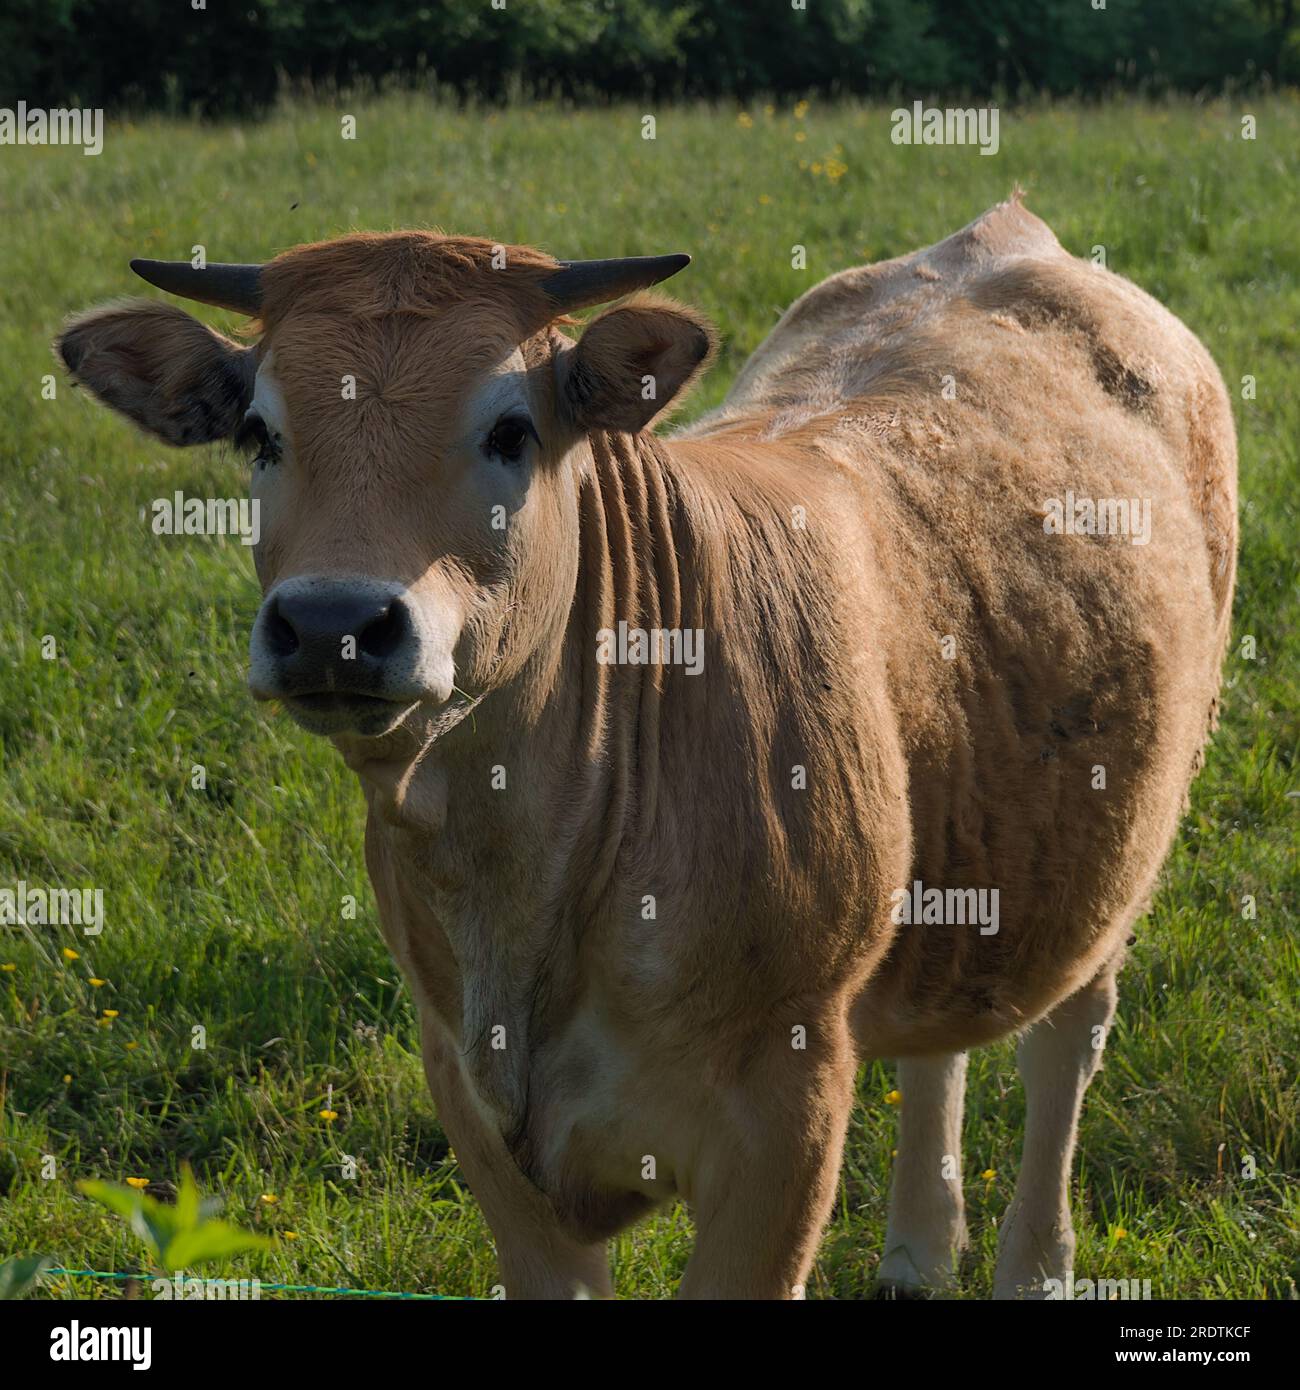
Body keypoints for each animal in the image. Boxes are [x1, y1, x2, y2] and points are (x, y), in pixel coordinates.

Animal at [57, 195, 1237, 1299]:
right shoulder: (475, 1109)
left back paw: (1034, 1262)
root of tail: (1008, 235)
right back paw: (914, 1249)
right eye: (258, 431)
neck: (522, 882)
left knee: (1065, 1040)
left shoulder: (784, 1114)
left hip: (1121, 842)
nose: (331, 620)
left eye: (511, 430)